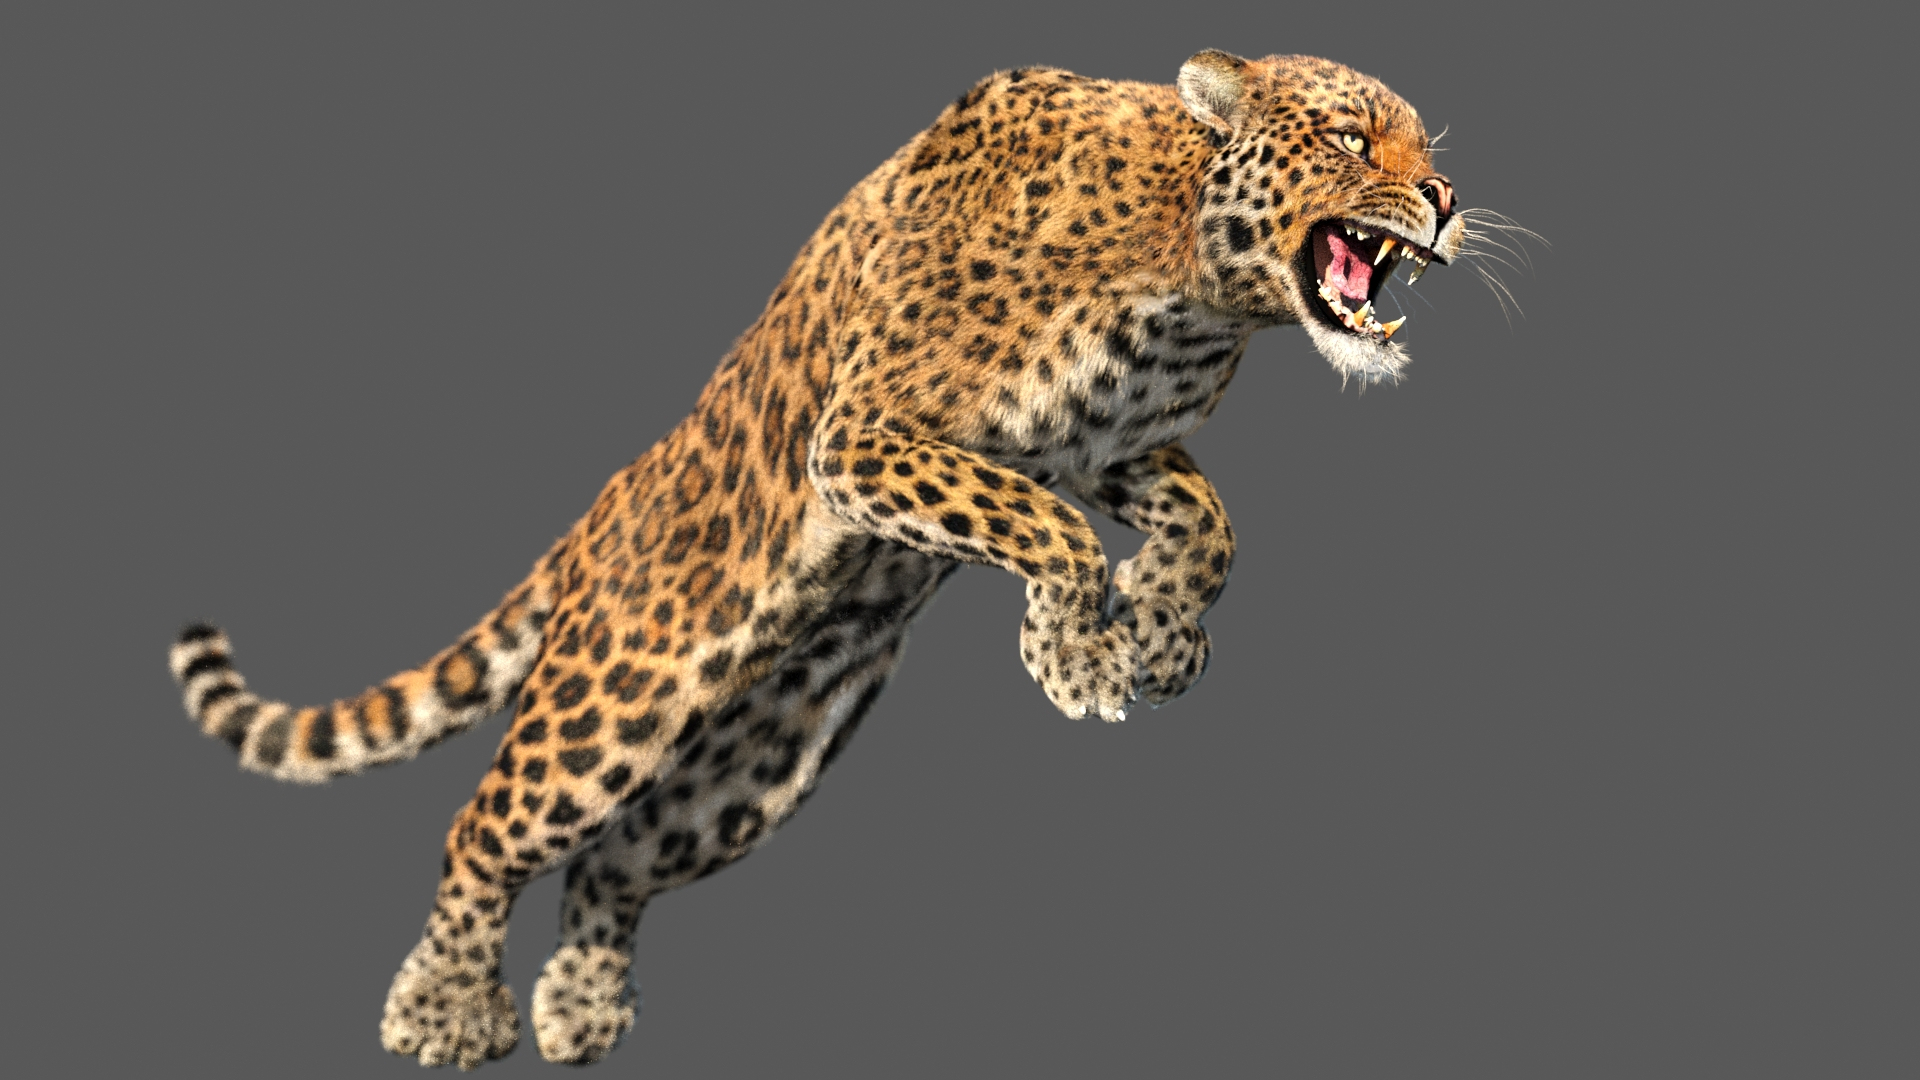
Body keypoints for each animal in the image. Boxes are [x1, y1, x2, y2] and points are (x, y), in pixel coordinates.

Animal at [168, 48, 1467, 1069]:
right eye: (1350, 137)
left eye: (1422, 146)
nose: (1448, 198)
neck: (1188, 278)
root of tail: (597, 515)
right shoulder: (866, 435)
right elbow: (1042, 526)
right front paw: (1079, 656)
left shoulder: (1106, 444)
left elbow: (1209, 521)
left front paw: (1160, 627)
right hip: (614, 700)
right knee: (484, 832)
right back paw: (441, 1011)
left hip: (755, 764)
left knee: (612, 868)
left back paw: (580, 1011)